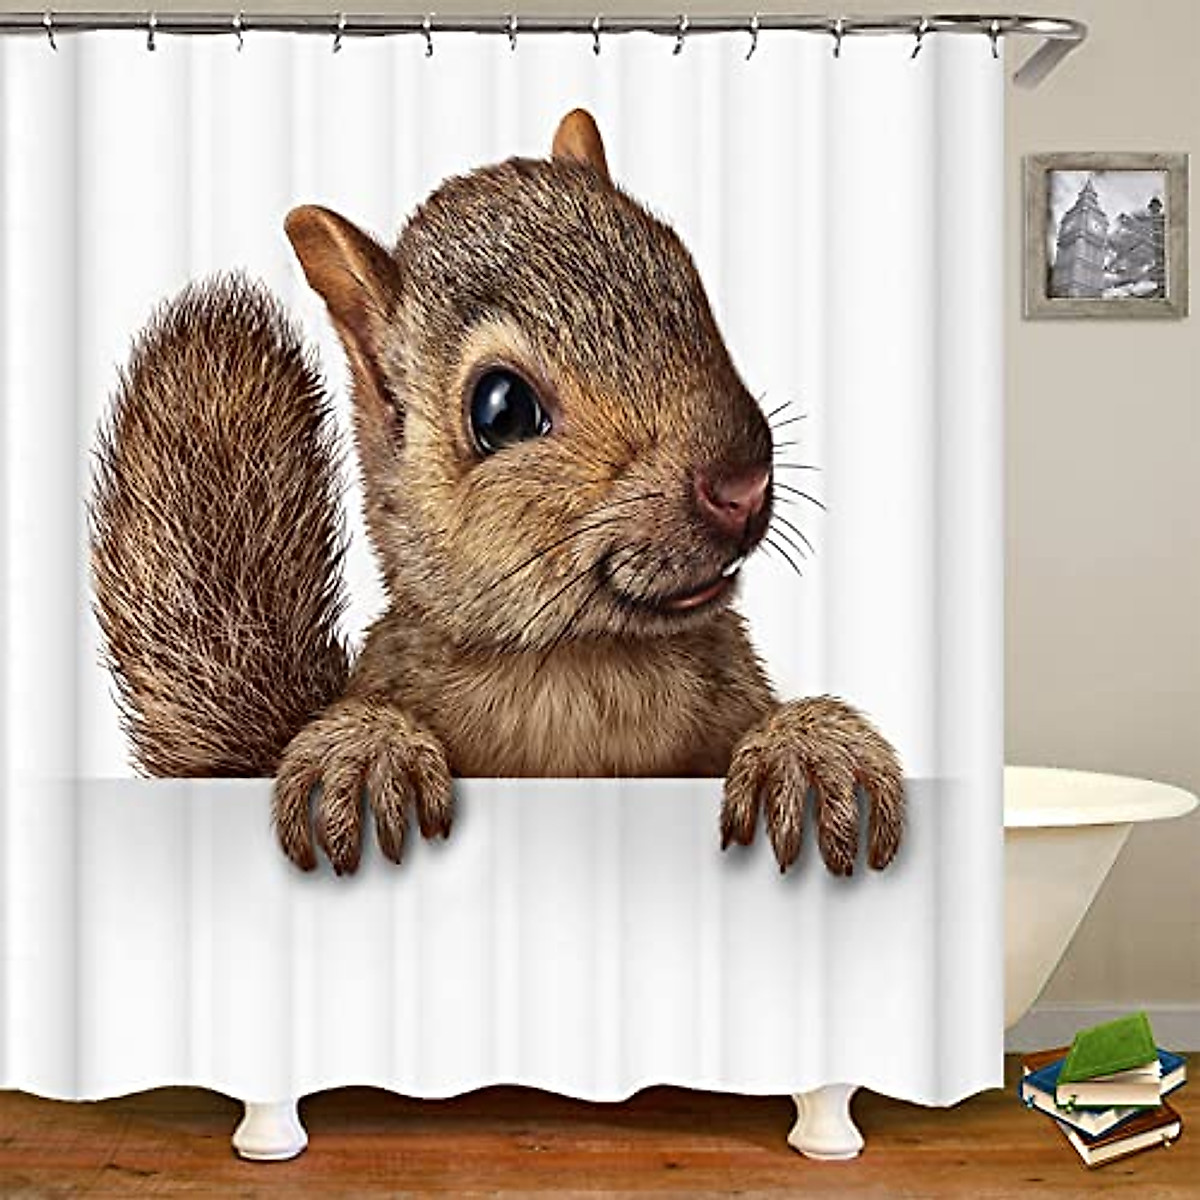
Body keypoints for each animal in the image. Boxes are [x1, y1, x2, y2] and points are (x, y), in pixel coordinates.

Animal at [90, 108, 904, 879]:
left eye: (691, 289)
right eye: (501, 409)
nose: (740, 483)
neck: (585, 672)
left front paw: (812, 752)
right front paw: (364, 753)